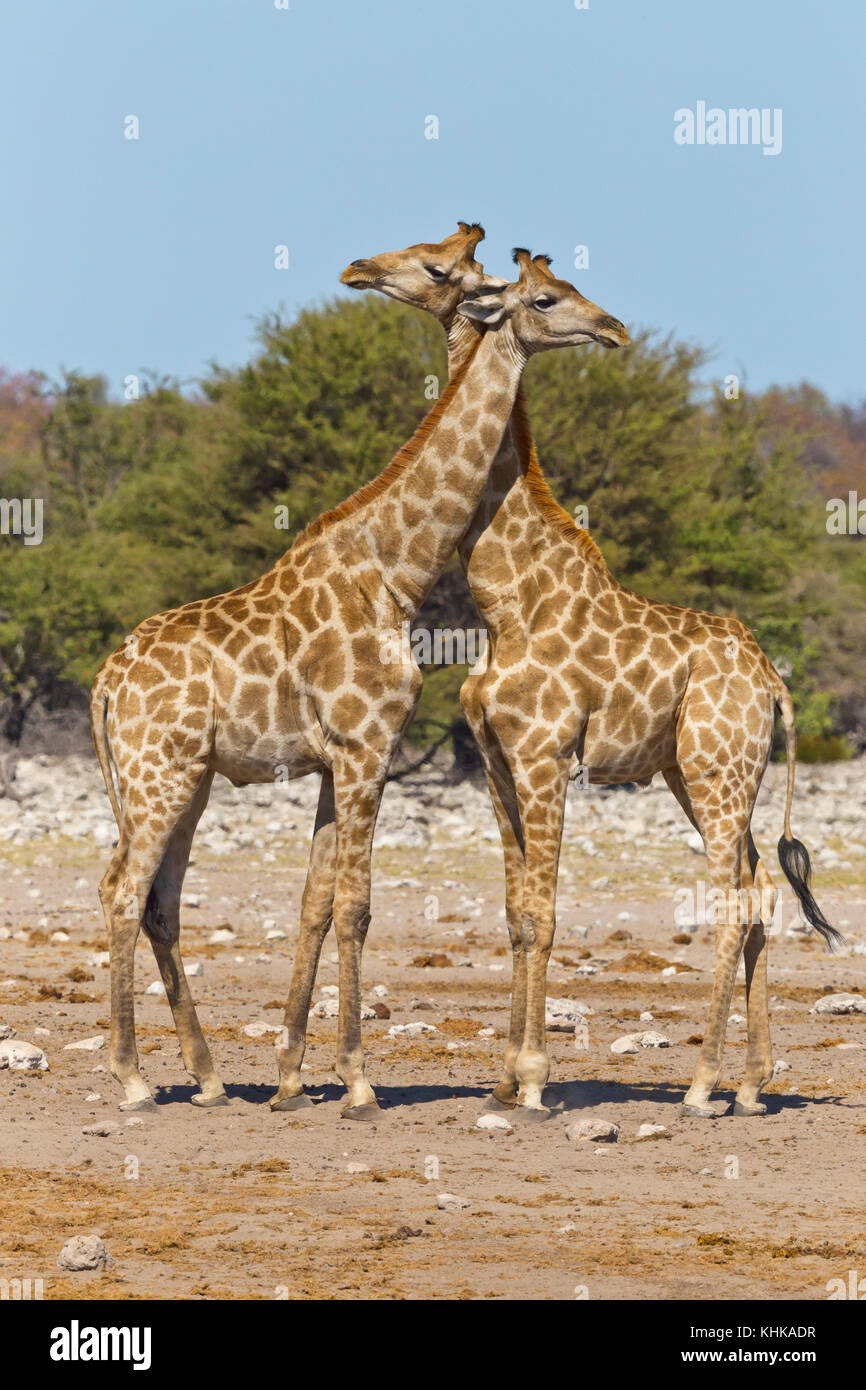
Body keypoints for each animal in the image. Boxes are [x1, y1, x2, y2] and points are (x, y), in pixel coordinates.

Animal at [89, 229, 622, 1119]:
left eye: (440, 260)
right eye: (545, 297)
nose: (613, 327)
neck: (396, 570)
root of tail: (104, 682)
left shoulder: (337, 758)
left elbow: (317, 902)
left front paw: (293, 1080)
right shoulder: (369, 747)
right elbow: (357, 907)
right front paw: (357, 1082)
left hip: (182, 779)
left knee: (156, 900)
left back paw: (206, 1077)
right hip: (157, 772)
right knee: (123, 892)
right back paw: (132, 1079)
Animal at [342, 232, 841, 1120]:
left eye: (435, 263)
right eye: (544, 296)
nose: (612, 328)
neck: (506, 599)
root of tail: (775, 686)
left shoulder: (547, 757)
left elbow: (544, 915)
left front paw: (537, 1080)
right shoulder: (498, 761)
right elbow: (516, 913)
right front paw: (506, 1078)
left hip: (717, 771)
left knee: (730, 901)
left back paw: (702, 1087)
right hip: (700, 771)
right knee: (757, 891)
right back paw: (751, 1087)